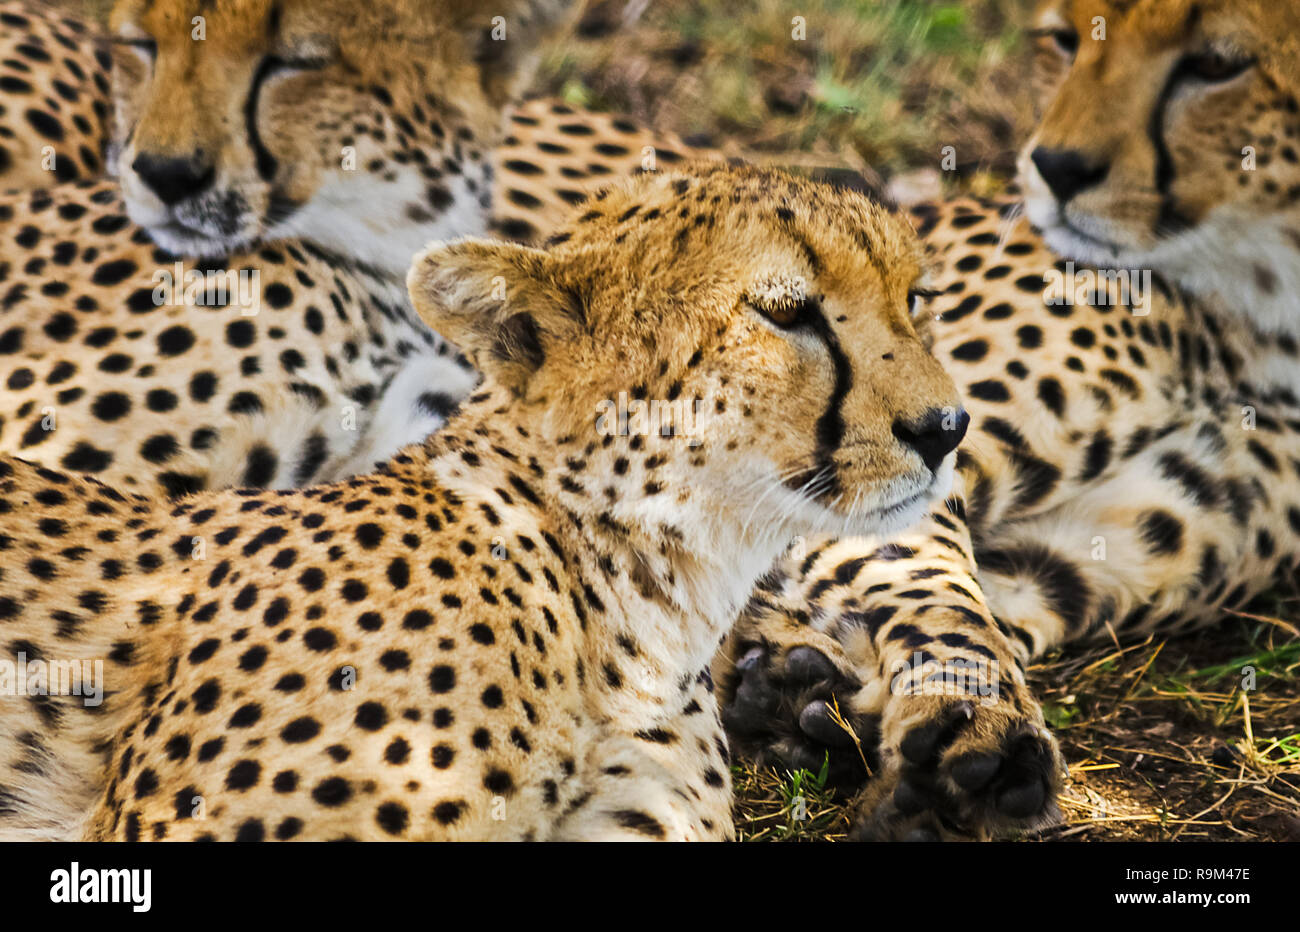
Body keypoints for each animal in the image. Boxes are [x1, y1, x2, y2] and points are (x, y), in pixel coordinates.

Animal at [716, 0, 1300, 841]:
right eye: (1064, 40)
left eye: (1218, 64)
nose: (1054, 169)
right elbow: (936, 592)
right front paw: (971, 728)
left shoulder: (1097, 543)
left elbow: (1000, 602)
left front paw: (797, 692)